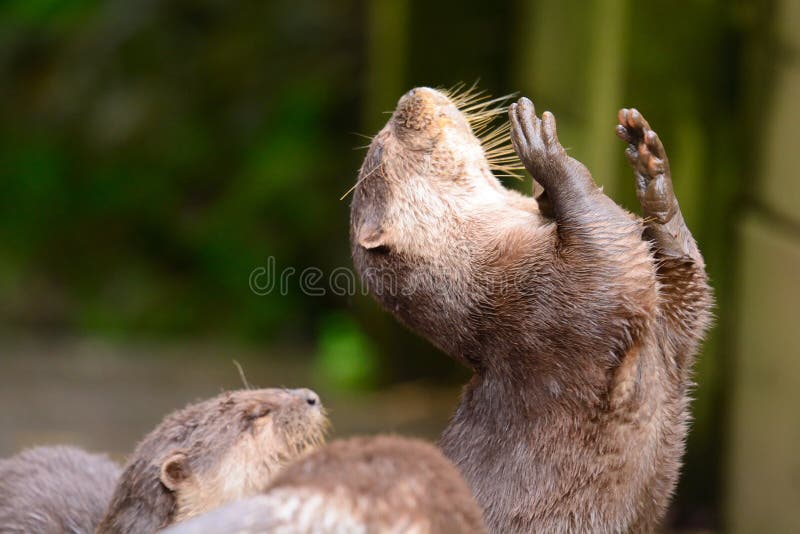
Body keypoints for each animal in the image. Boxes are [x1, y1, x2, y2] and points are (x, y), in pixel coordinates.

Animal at [349, 88, 712, 532]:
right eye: (385, 147)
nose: (410, 95)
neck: (489, 279)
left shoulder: (672, 328)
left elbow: (685, 275)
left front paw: (650, 169)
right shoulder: (557, 303)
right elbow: (606, 240)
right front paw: (547, 157)